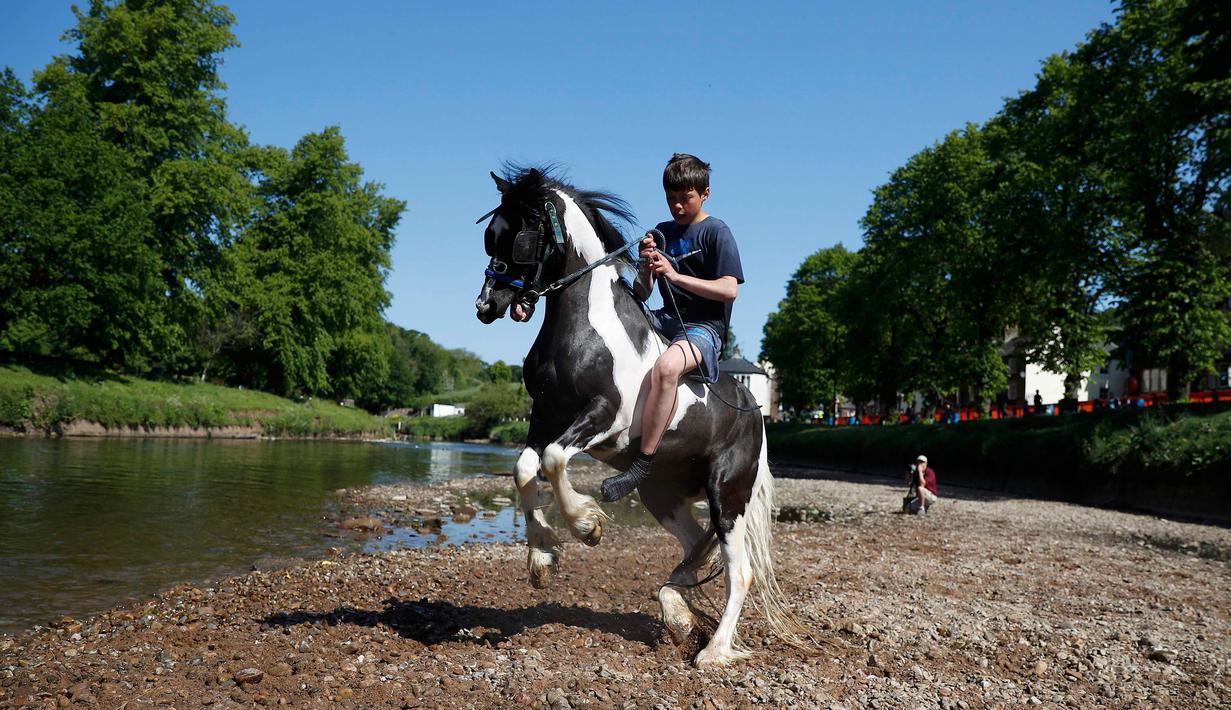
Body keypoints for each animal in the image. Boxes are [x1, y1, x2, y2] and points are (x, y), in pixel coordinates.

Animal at [473, 166, 807, 666]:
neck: (588, 326)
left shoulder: (605, 417)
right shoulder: (545, 415)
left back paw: (713, 651)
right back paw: (678, 615)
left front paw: (587, 525)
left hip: (727, 495)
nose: (486, 307)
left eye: (521, 240)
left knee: (739, 572)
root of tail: (754, 412)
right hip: (662, 493)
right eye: (490, 235)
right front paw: (542, 558)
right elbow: (525, 467)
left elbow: (553, 459)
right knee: (696, 545)